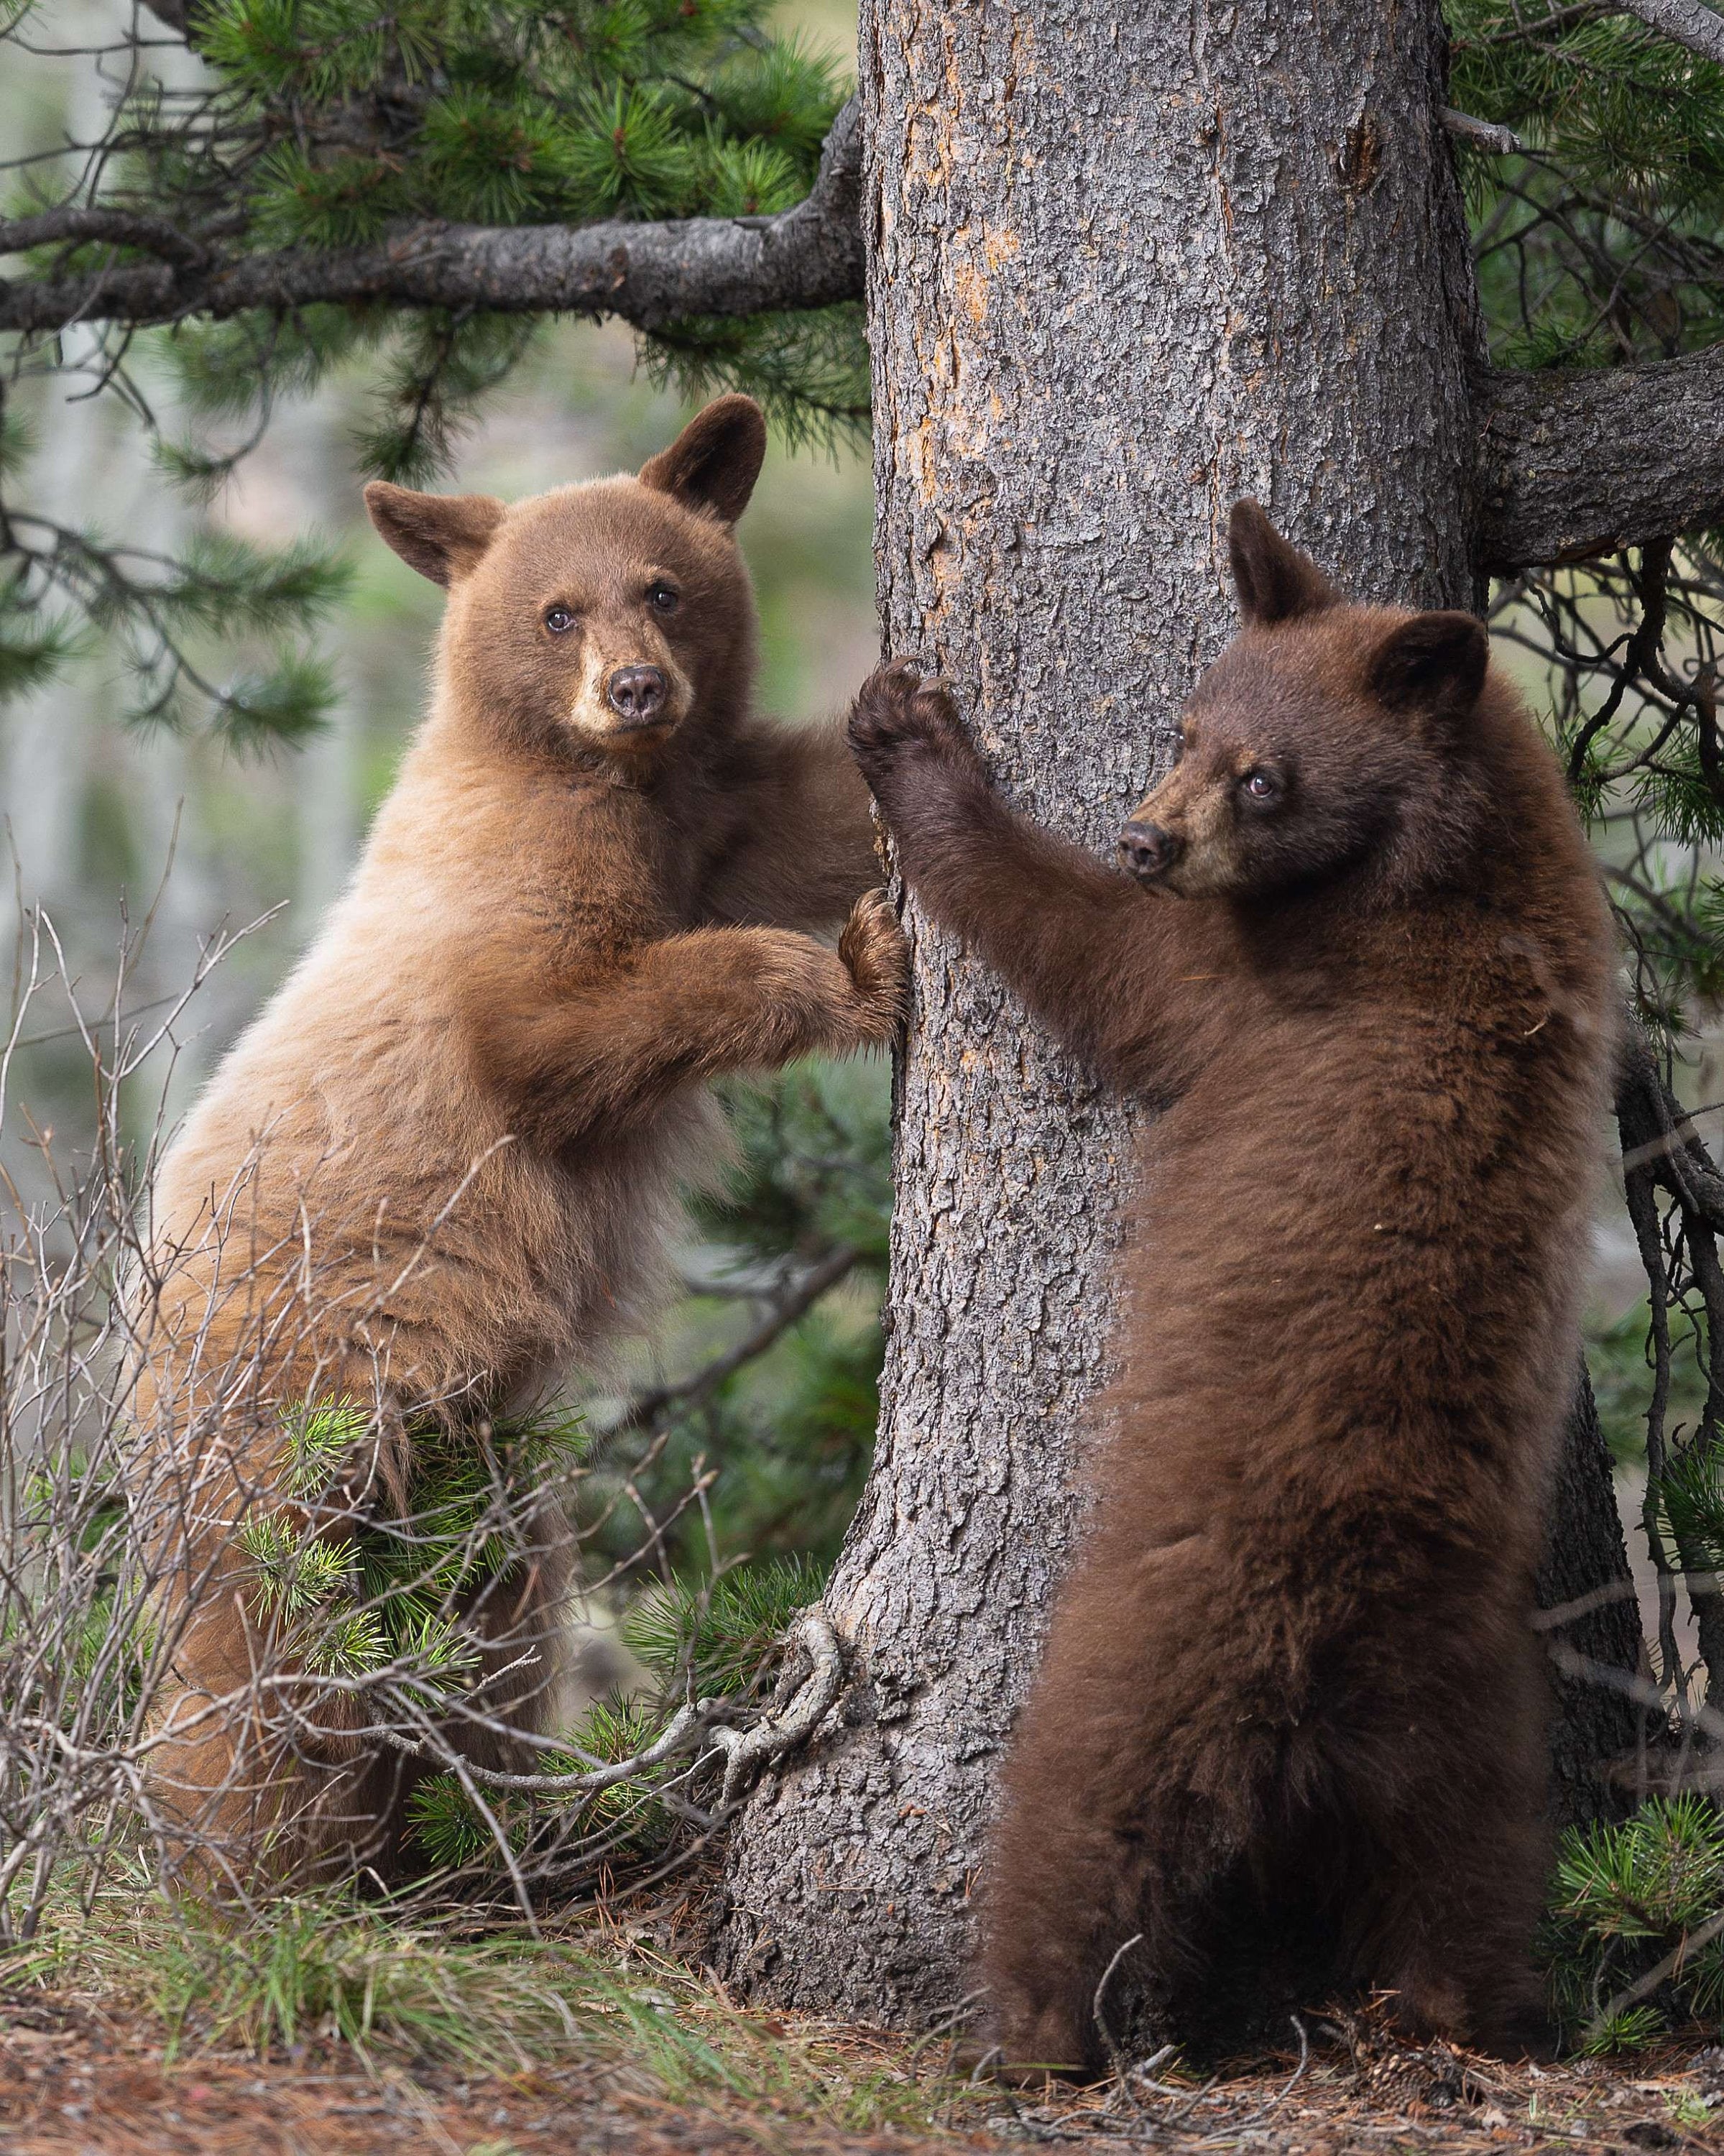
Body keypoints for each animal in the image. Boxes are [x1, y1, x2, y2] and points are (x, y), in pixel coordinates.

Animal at [133, 394, 906, 1886]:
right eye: (555, 612)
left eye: (661, 588)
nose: (636, 688)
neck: (605, 778)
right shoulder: (518, 900)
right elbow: (564, 1027)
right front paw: (855, 968)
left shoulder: (711, 820)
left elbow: (811, 811)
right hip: (276, 1425)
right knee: (256, 1652)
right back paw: (248, 1869)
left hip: (475, 1478)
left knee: (492, 1630)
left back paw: (456, 1837)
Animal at [846, 502, 1616, 2069]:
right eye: (1189, 722)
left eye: (1264, 779)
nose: (1144, 837)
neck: (1441, 867)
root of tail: (1328, 1658)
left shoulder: (1251, 985)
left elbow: (1093, 955)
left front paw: (909, 738)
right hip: (1470, 1727)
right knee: (1466, 1870)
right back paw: (1460, 2013)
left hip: (1140, 1652)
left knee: (1087, 1818)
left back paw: (1031, 2021)